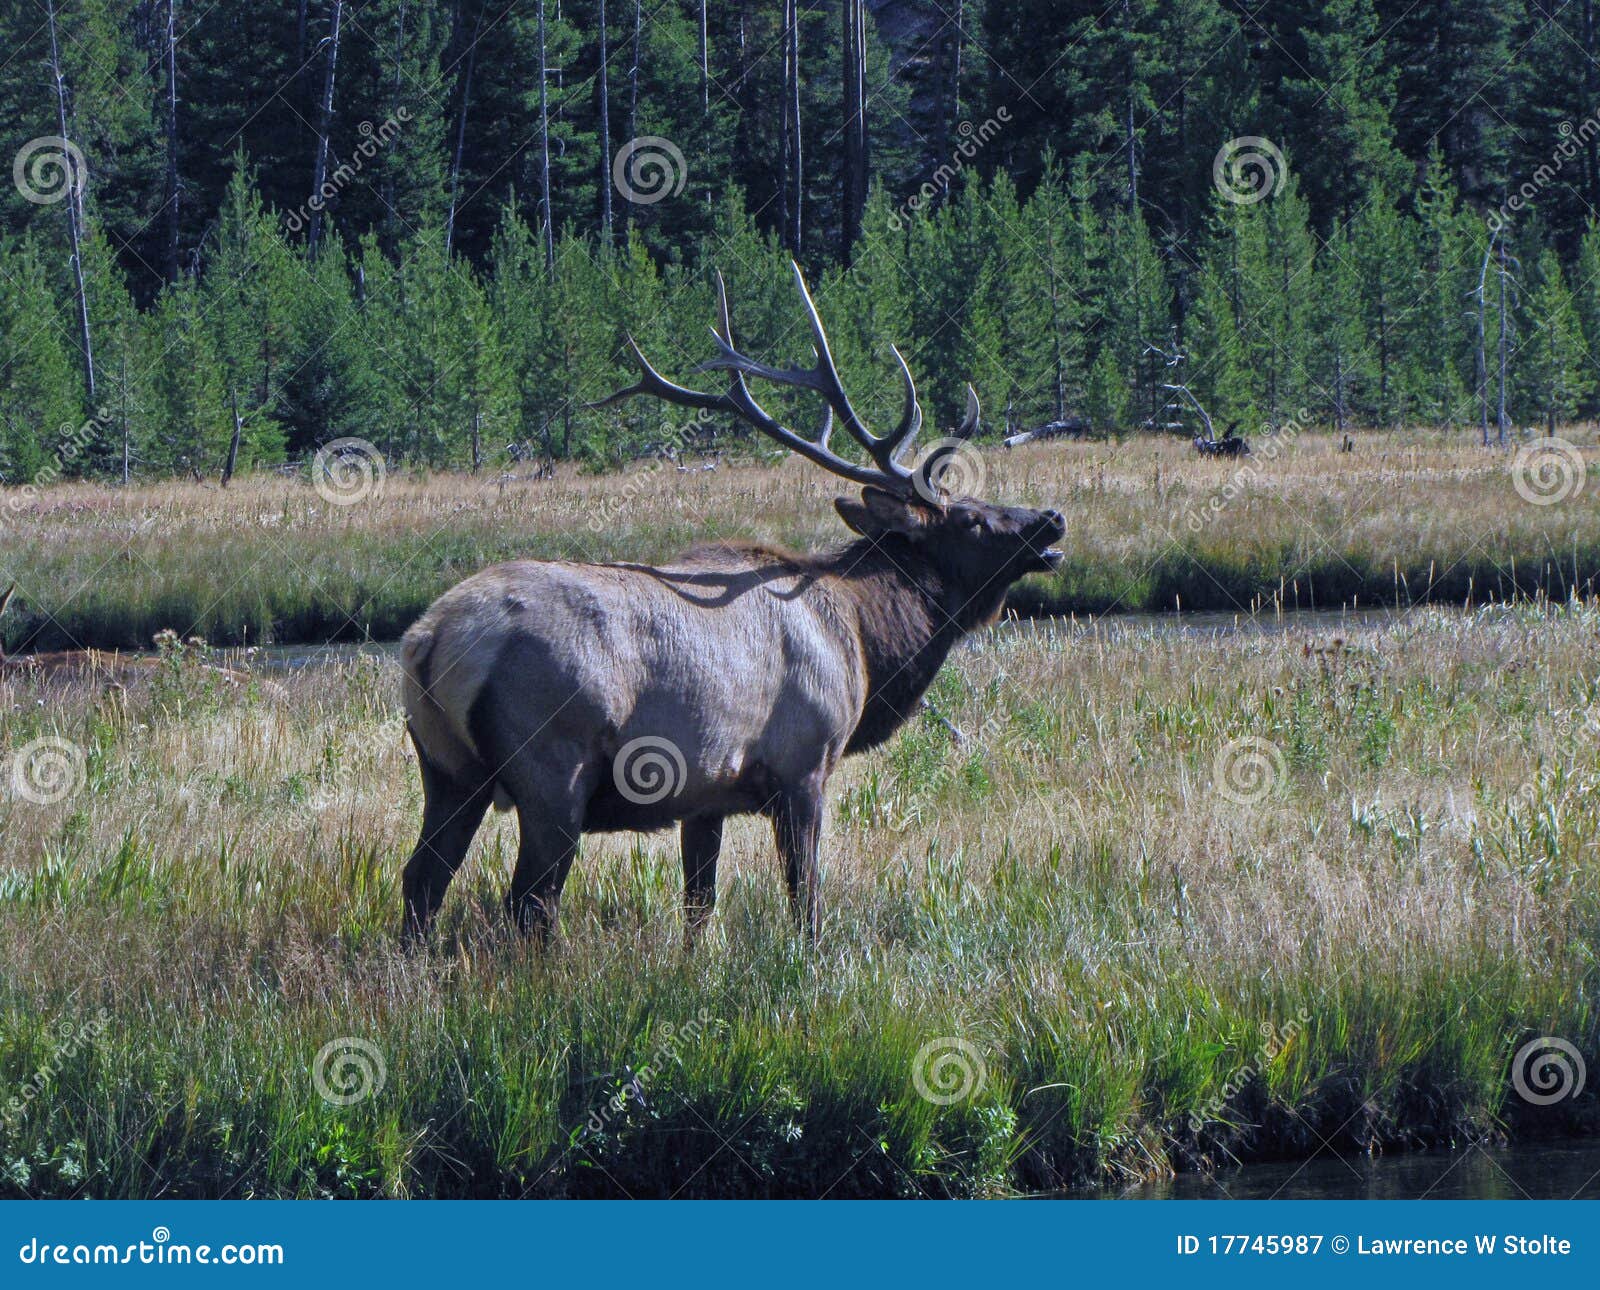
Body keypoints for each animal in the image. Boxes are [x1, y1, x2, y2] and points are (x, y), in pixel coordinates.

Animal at [398, 263, 1065, 946]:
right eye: (973, 519)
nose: (1051, 520)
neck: (864, 638)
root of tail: (429, 640)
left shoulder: (706, 796)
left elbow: (700, 901)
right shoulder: (804, 765)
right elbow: (805, 898)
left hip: (448, 770)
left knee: (424, 877)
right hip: (554, 771)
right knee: (529, 900)